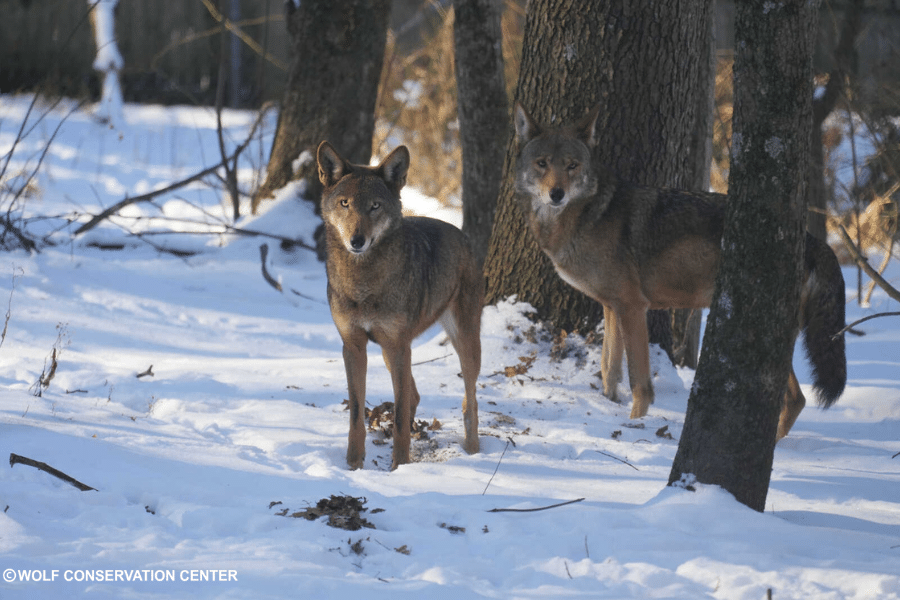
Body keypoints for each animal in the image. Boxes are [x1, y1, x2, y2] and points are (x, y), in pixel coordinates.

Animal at [317, 141, 483, 470]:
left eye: (375, 206)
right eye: (345, 203)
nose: (357, 240)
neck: (364, 283)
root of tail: (462, 234)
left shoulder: (397, 345)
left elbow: (403, 412)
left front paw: (400, 468)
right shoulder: (353, 346)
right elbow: (357, 414)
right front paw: (353, 465)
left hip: (462, 344)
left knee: (469, 400)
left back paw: (473, 451)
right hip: (388, 351)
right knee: (415, 397)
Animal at [513, 103, 847, 439]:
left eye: (572, 165)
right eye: (542, 164)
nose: (557, 194)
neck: (588, 215)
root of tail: (812, 239)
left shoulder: (634, 307)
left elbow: (640, 383)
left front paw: (635, 425)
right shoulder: (612, 307)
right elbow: (609, 371)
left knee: (795, 398)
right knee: (796, 399)